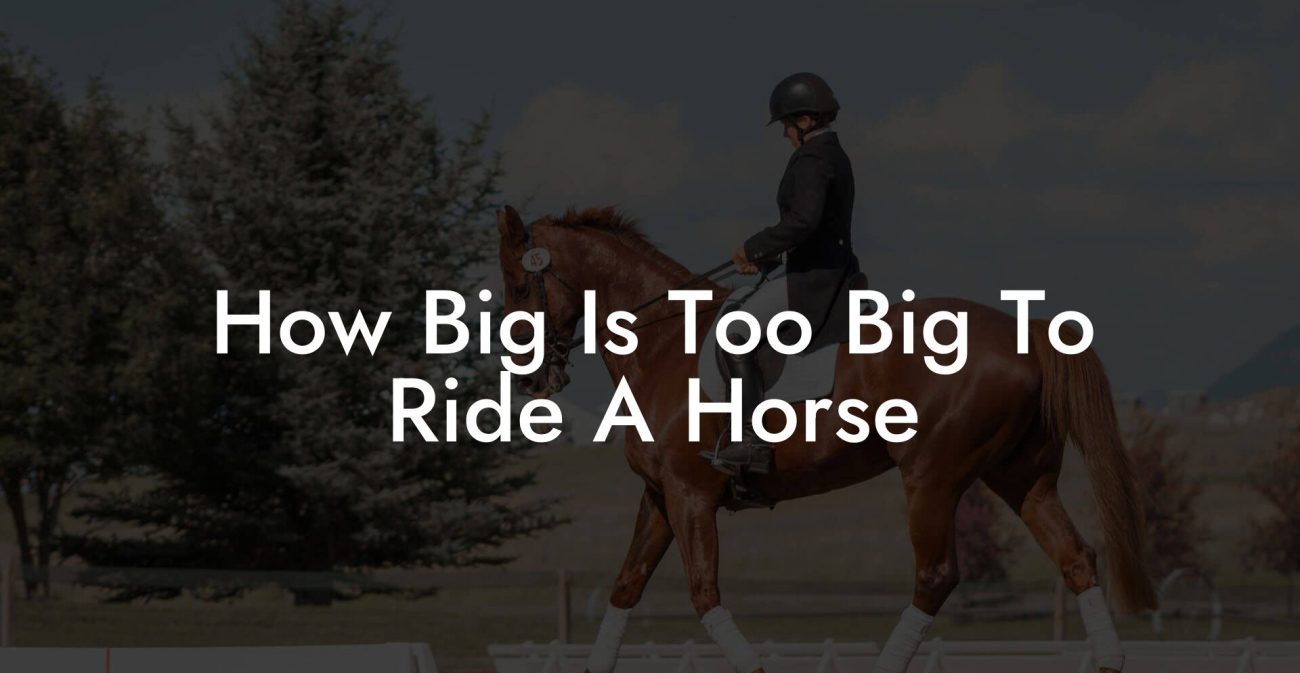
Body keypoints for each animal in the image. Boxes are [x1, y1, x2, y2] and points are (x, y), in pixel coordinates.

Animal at [495, 205, 1155, 673]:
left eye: (520, 288)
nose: (529, 380)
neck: (663, 340)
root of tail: (1027, 331)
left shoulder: (691, 497)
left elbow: (704, 594)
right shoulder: (660, 496)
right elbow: (627, 586)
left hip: (932, 478)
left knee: (936, 576)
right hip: (1021, 476)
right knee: (1076, 557)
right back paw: (1108, 660)